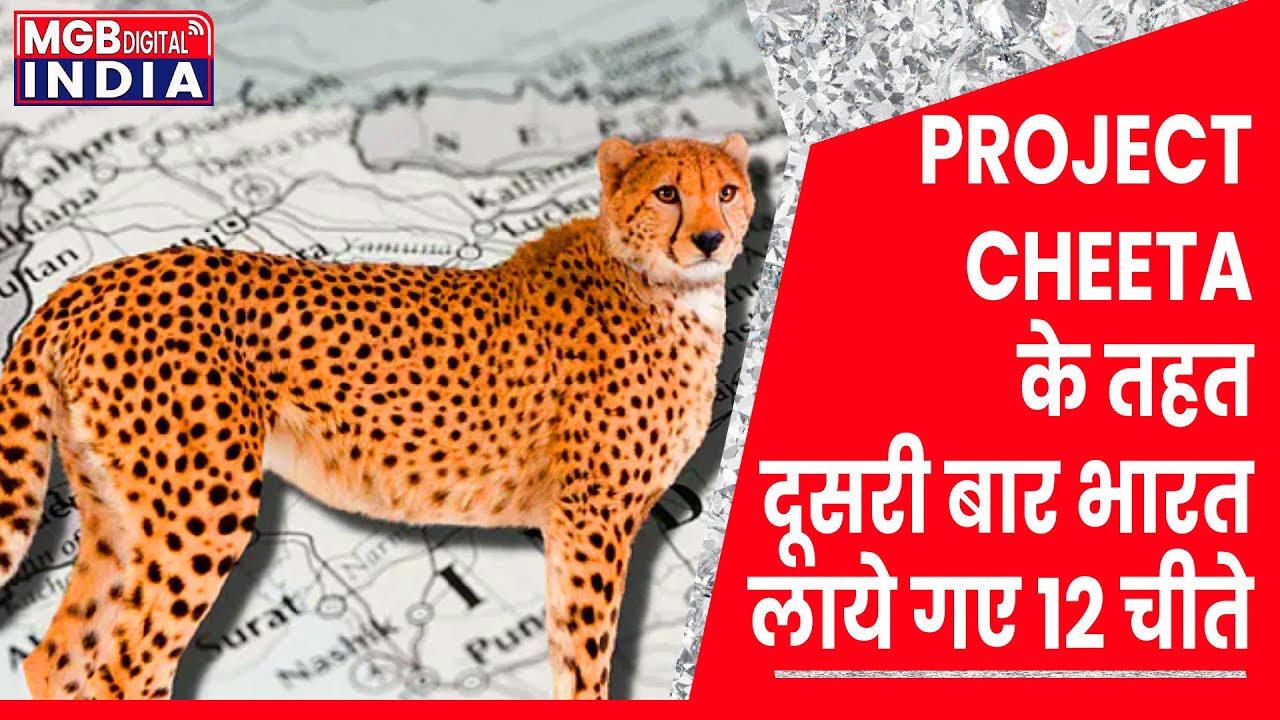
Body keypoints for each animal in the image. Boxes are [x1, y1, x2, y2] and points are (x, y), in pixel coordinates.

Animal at [0, 134, 754, 700]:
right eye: (666, 193)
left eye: (726, 191)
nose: (711, 239)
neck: (666, 288)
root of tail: (88, 280)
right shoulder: (591, 517)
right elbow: (585, 659)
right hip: (200, 513)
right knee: (124, 671)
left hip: (117, 515)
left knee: (55, 658)